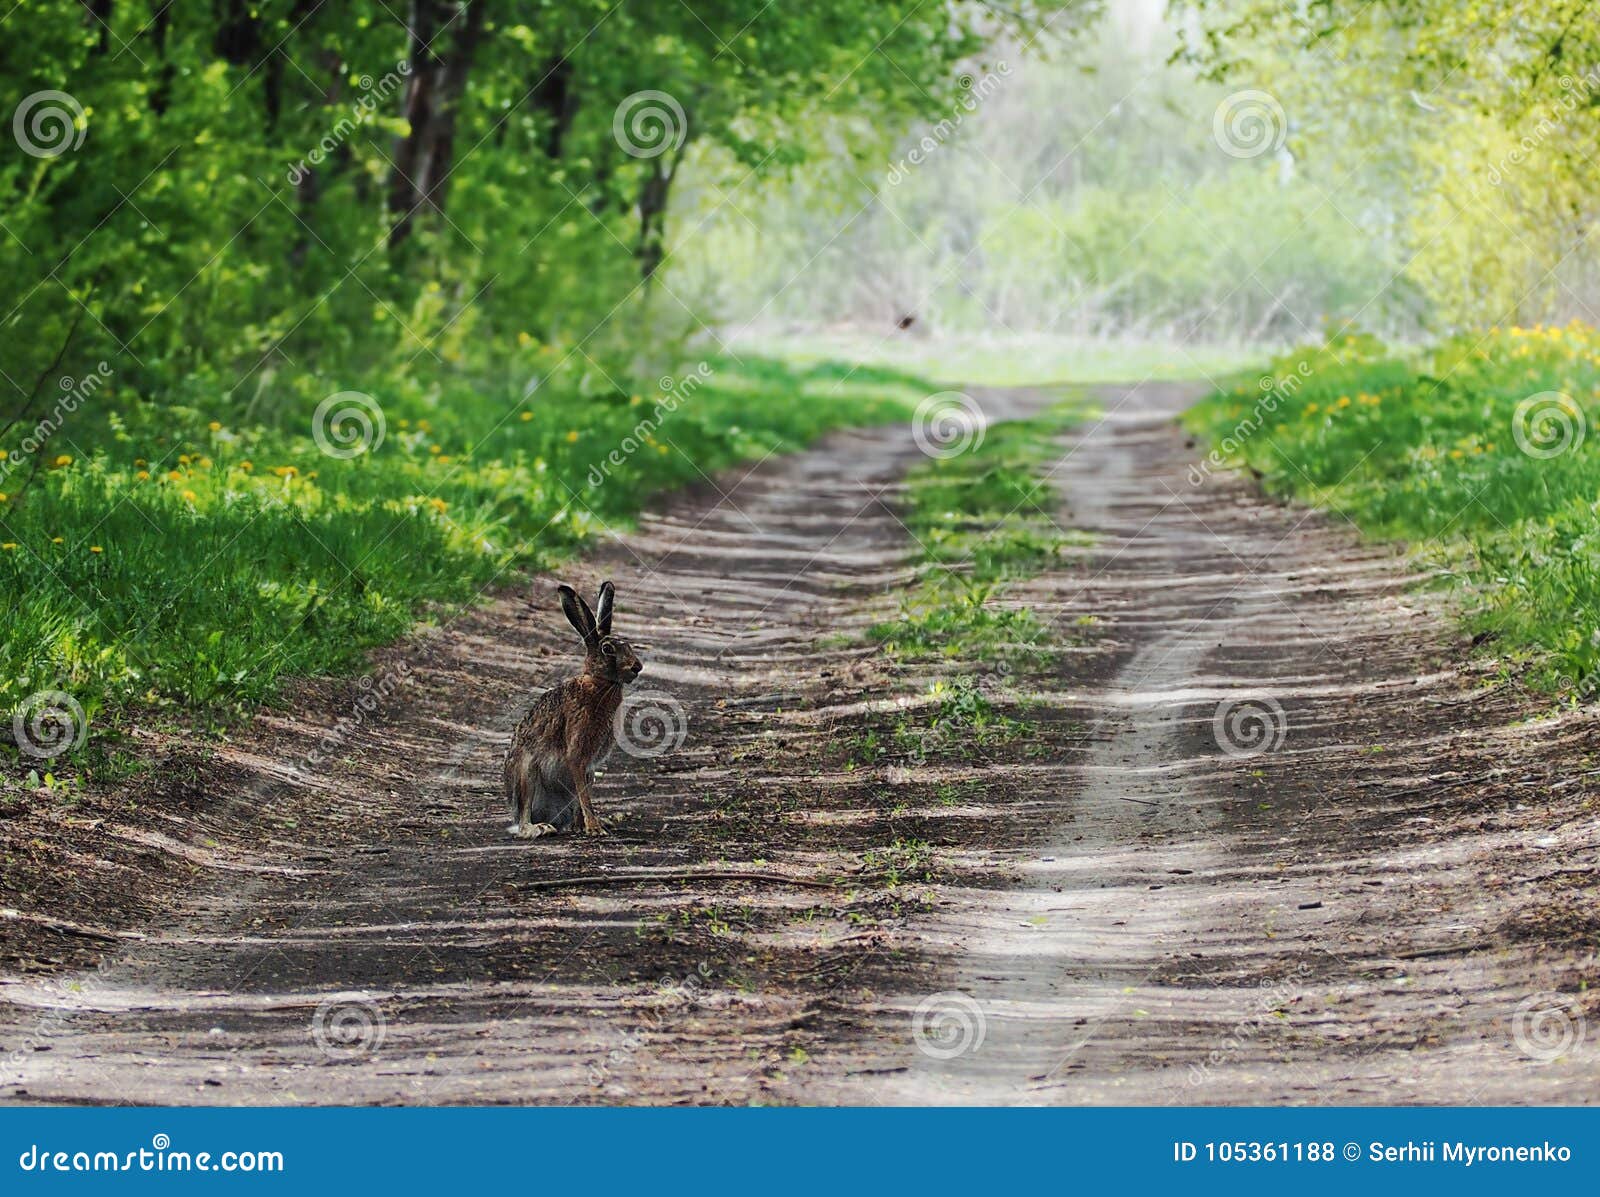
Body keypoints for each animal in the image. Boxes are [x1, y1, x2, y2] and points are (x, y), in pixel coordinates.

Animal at [504, 580, 643, 839]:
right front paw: (595, 828)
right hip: (526, 774)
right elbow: (584, 795)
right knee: (524, 818)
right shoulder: (577, 755)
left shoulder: (589, 767)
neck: (599, 683)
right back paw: (539, 828)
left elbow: (583, 795)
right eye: (608, 649)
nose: (637, 667)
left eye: (628, 645)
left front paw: (587, 826)